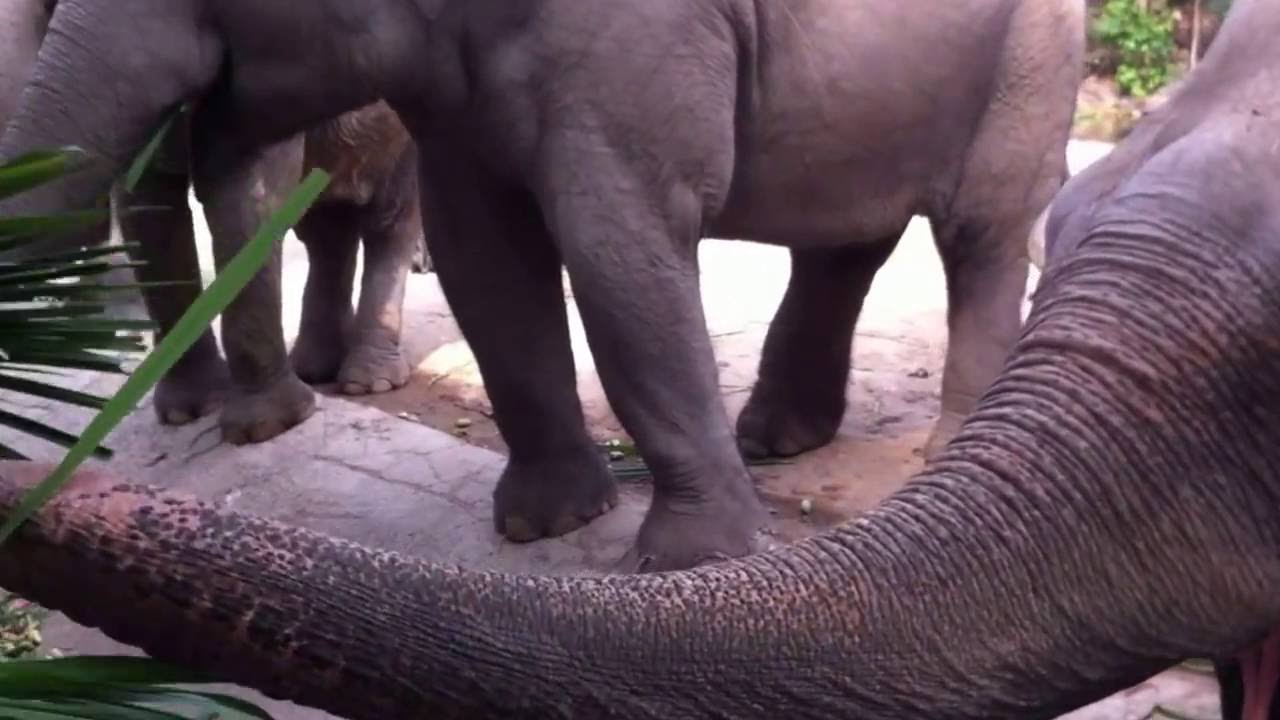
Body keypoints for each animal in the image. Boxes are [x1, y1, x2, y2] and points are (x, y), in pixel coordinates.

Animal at [0, 0, 430, 446]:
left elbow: (243, 185)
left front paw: (263, 428)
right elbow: (148, 199)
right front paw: (187, 413)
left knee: (387, 222)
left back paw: (368, 382)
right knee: (325, 231)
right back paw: (314, 369)